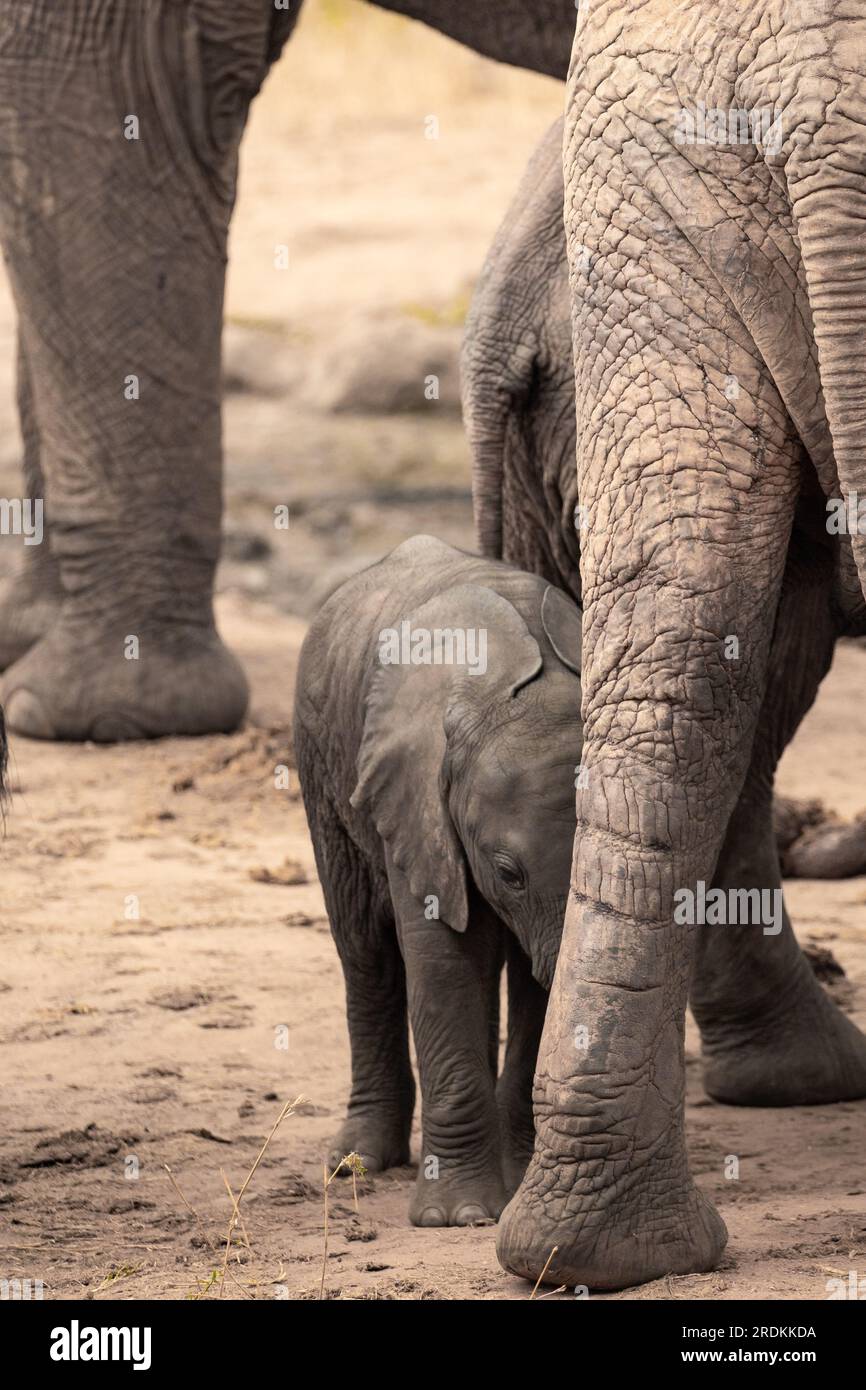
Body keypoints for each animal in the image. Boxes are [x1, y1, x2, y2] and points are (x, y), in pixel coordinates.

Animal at [293, 533, 583, 1225]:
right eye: (507, 873)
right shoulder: (414, 792)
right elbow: (441, 961)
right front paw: (461, 1216)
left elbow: (528, 986)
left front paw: (515, 1181)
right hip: (320, 763)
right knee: (364, 952)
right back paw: (357, 1162)